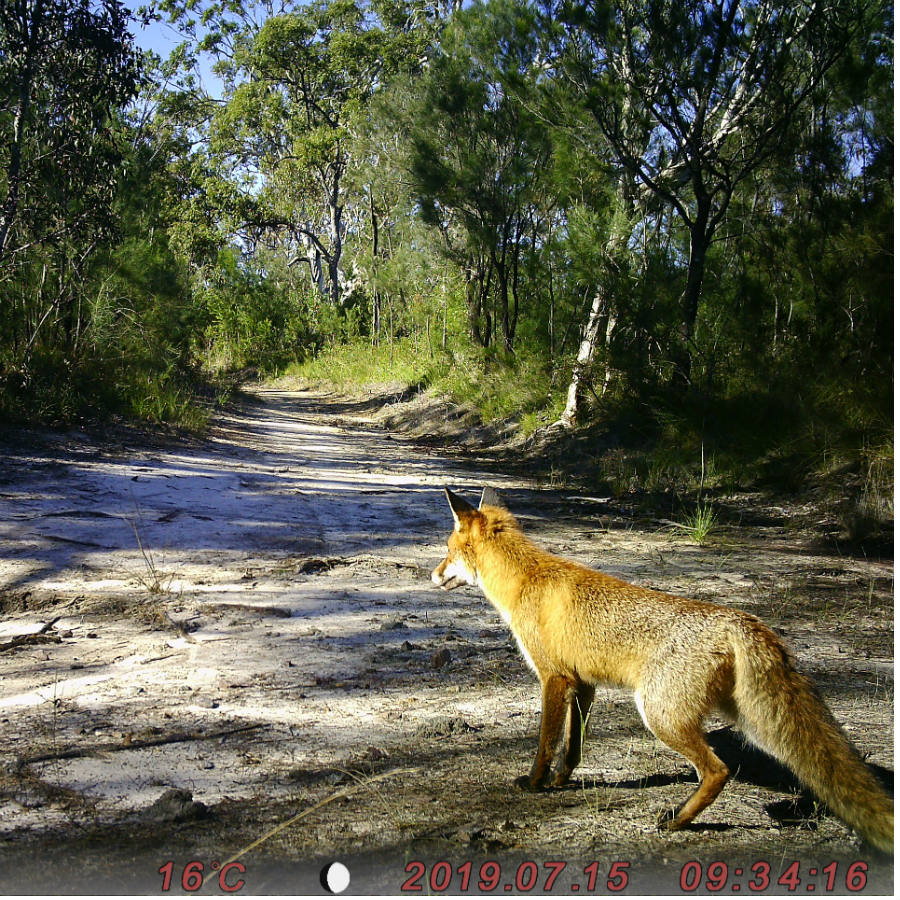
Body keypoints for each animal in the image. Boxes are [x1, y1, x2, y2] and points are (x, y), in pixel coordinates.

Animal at [431, 487, 893, 853]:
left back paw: (677, 821)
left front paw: (534, 783)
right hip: (752, 722)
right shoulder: (584, 684)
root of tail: (743, 621)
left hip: (660, 715)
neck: (526, 579)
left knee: (718, 770)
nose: (433, 574)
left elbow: (546, 742)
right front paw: (562, 780)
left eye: (448, 552)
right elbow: (573, 746)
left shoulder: (554, 678)